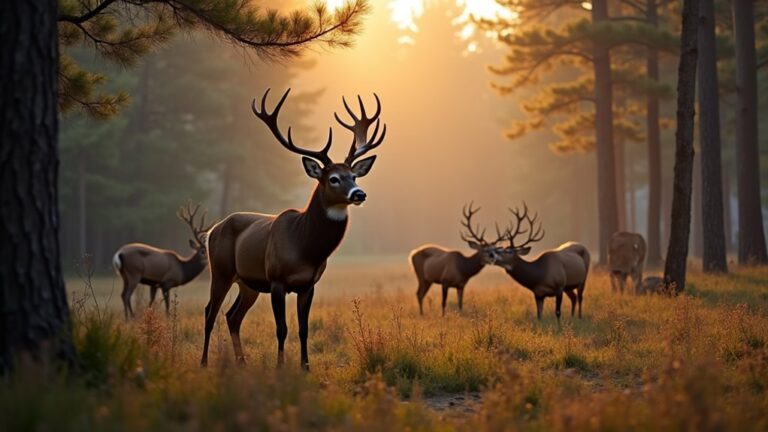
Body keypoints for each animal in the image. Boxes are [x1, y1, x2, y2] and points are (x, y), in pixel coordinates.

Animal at [200, 88, 386, 370]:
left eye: (354, 176)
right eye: (333, 178)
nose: (359, 194)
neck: (305, 247)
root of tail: (212, 230)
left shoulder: (308, 284)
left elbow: (303, 329)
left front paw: (305, 367)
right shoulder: (277, 279)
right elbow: (282, 329)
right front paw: (280, 367)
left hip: (248, 283)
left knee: (232, 316)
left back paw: (242, 363)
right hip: (220, 270)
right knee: (210, 312)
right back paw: (203, 363)